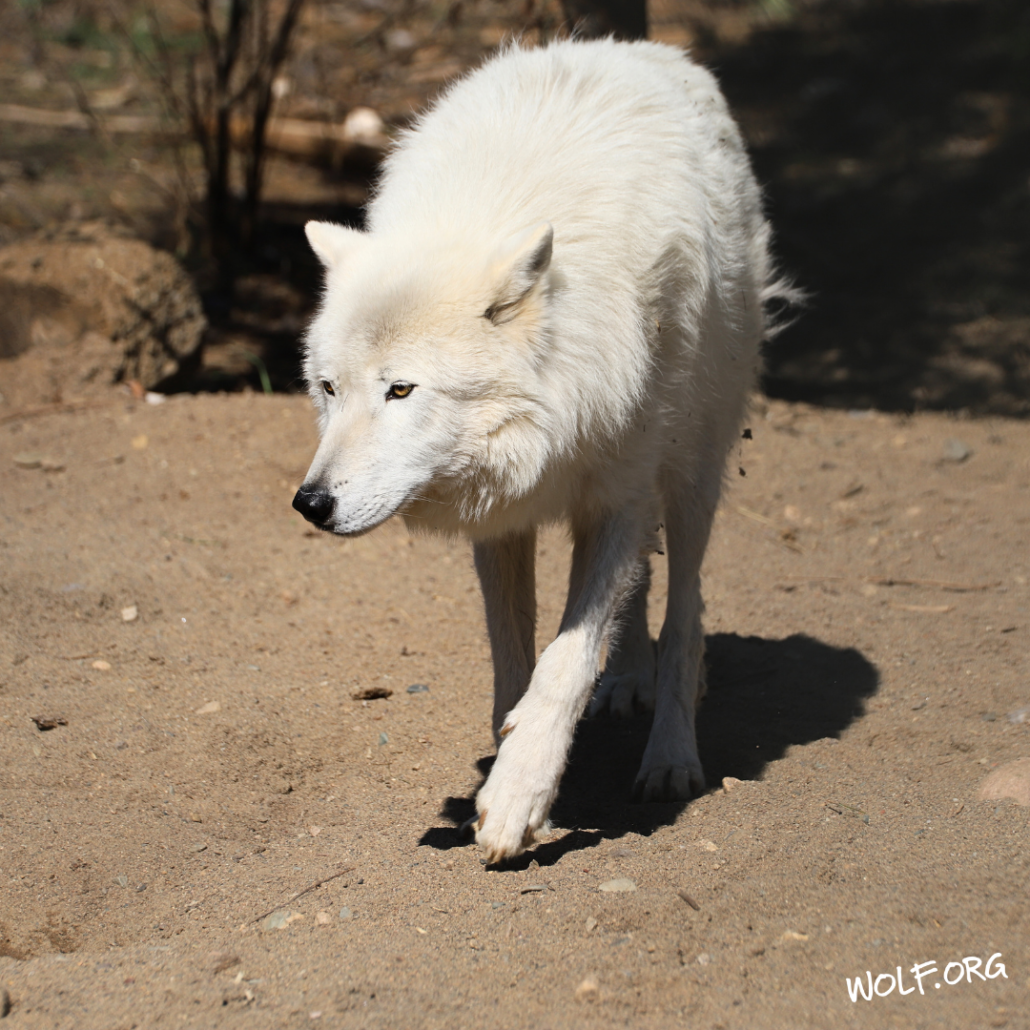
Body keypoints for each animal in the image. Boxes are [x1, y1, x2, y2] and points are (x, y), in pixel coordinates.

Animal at [294, 38, 794, 864]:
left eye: (401, 390)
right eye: (330, 388)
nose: (311, 503)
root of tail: (642, 48)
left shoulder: (620, 493)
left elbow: (565, 661)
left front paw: (518, 798)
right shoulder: (502, 517)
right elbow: (515, 662)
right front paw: (514, 768)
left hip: (694, 464)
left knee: (686, 608)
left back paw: (671, 753)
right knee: (642, 591)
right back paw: (628, 683)